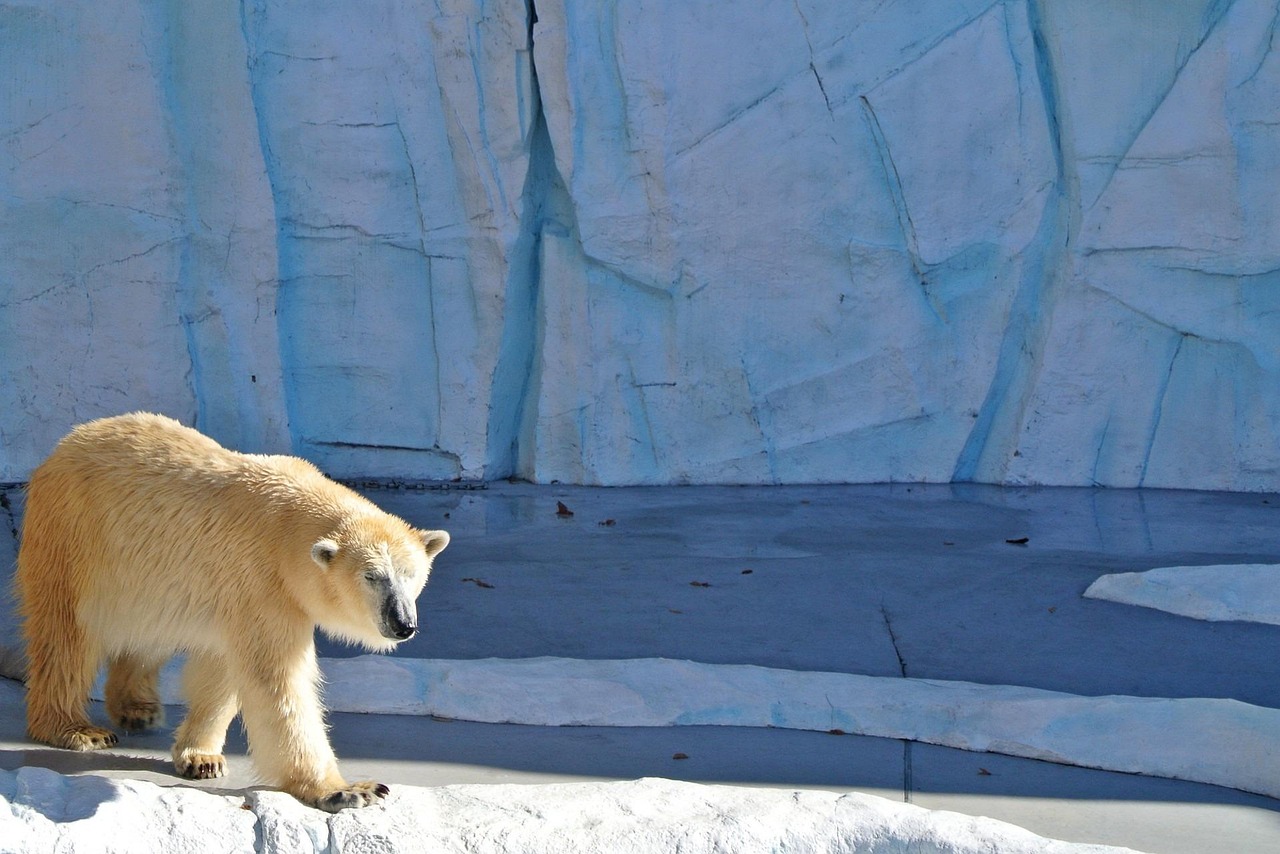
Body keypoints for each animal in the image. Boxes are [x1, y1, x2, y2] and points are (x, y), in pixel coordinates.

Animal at [15, 412, 450, 811]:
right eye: (372, 576)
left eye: (411, 574)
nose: (402, 623)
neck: (286, 525)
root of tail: (63, 446)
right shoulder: (261, 582)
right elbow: (276, 681)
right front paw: (347, 790)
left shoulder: (239, 592)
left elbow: (222, 669)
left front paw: (200, 757)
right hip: (77, 540)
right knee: (67, 633)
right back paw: (77, 728)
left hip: (147, 575)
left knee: (149, 631)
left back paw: (138, 708)